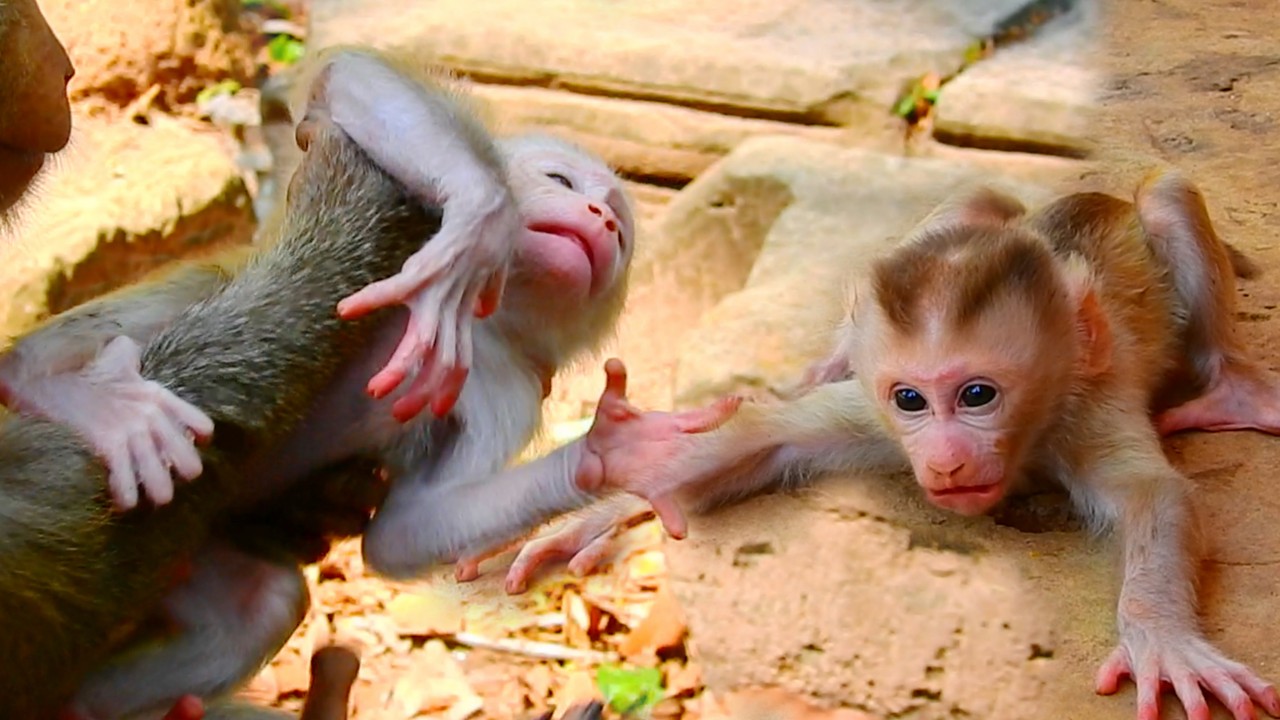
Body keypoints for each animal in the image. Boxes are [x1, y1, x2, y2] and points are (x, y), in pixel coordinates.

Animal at [537, 172, 1280, 720]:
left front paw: (1164, 640)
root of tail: (1099, 194)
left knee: (1167, 194)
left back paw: (1236, 388)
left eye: (977, 395)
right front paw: (612, 507)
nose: (946, 460)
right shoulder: (876, 418)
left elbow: (1155, 494)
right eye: (911, 400)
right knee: (980, 197)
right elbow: (765, 436)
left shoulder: (1084, 412)